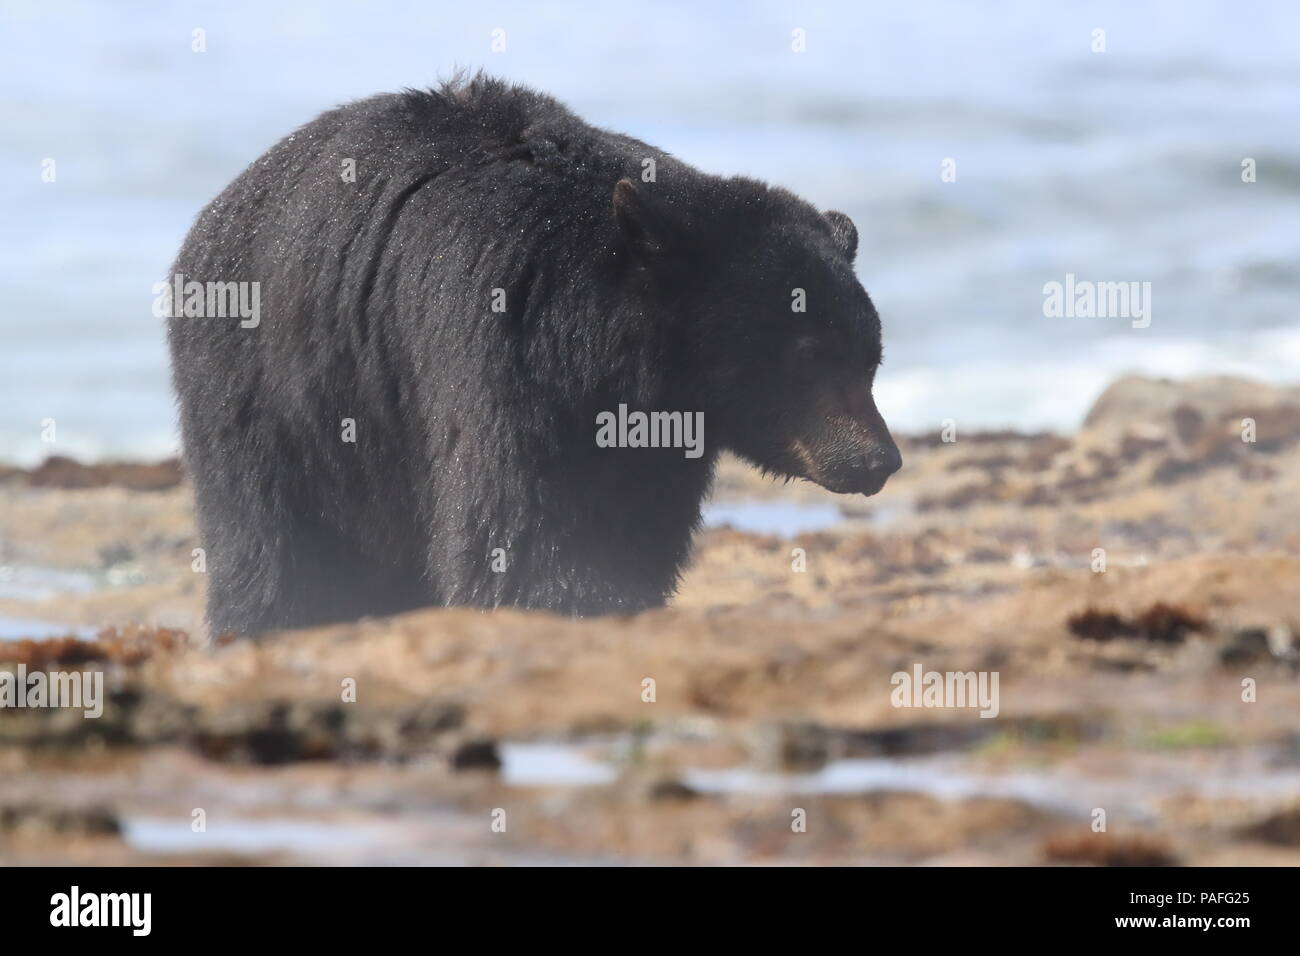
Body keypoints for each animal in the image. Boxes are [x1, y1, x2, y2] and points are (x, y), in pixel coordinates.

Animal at [167, 73, 900, 636]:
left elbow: (633, 527)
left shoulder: (653, 437)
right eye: (806, 354)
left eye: (870, 357)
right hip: (273, 384)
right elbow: (523, 525)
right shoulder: (506, 343)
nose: (878, 459)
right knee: (275, 541)